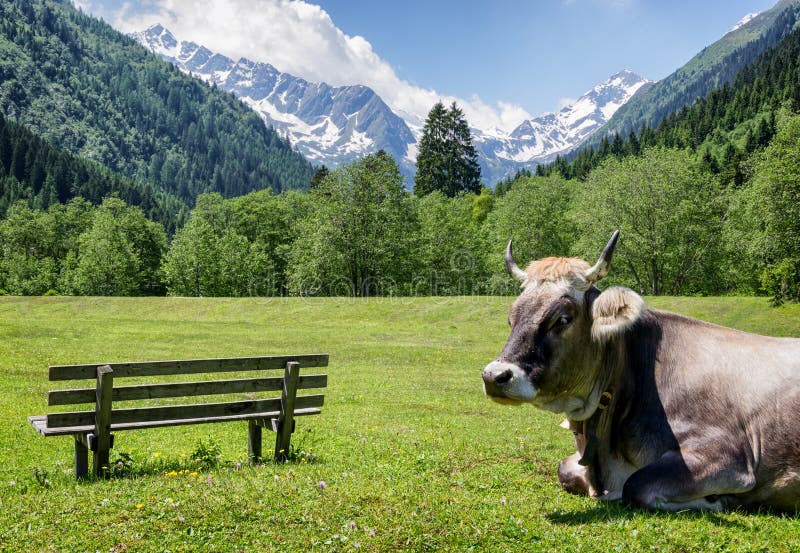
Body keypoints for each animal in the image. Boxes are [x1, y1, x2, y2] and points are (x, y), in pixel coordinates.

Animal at [481, 231, 800, 511]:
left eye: (562, 319)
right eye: (512, 318)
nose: (495, 376)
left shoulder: (727, 454)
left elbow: (637, 486)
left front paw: (718, 501)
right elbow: (565, 469)